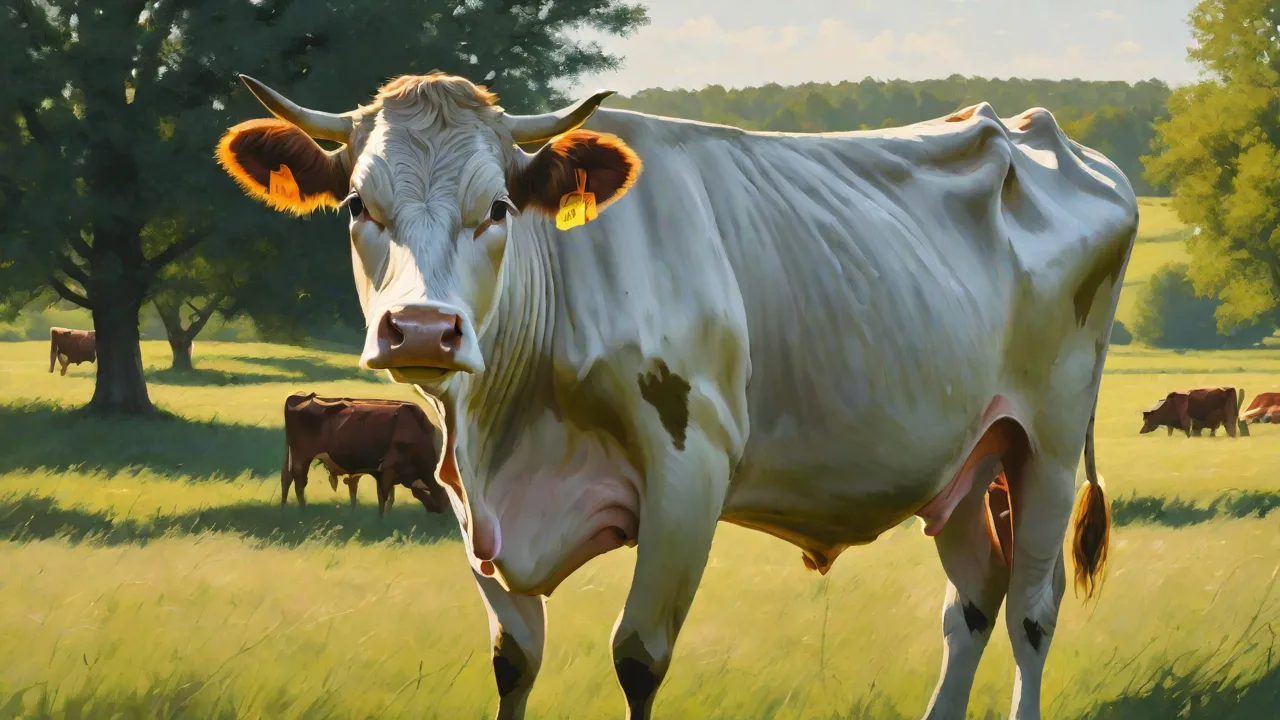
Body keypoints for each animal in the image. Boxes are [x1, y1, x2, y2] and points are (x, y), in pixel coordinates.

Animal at [281, 393, 447, 517]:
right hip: (301, 458)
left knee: (286, 478)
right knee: (299, 484)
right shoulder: (386, 470)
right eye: (446, 498)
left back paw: (284, 508)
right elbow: (383, 498)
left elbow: (390, 499)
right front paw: (380, 522)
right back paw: (303, 512)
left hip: (291, 455)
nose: (443, 517)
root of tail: (301, 396)